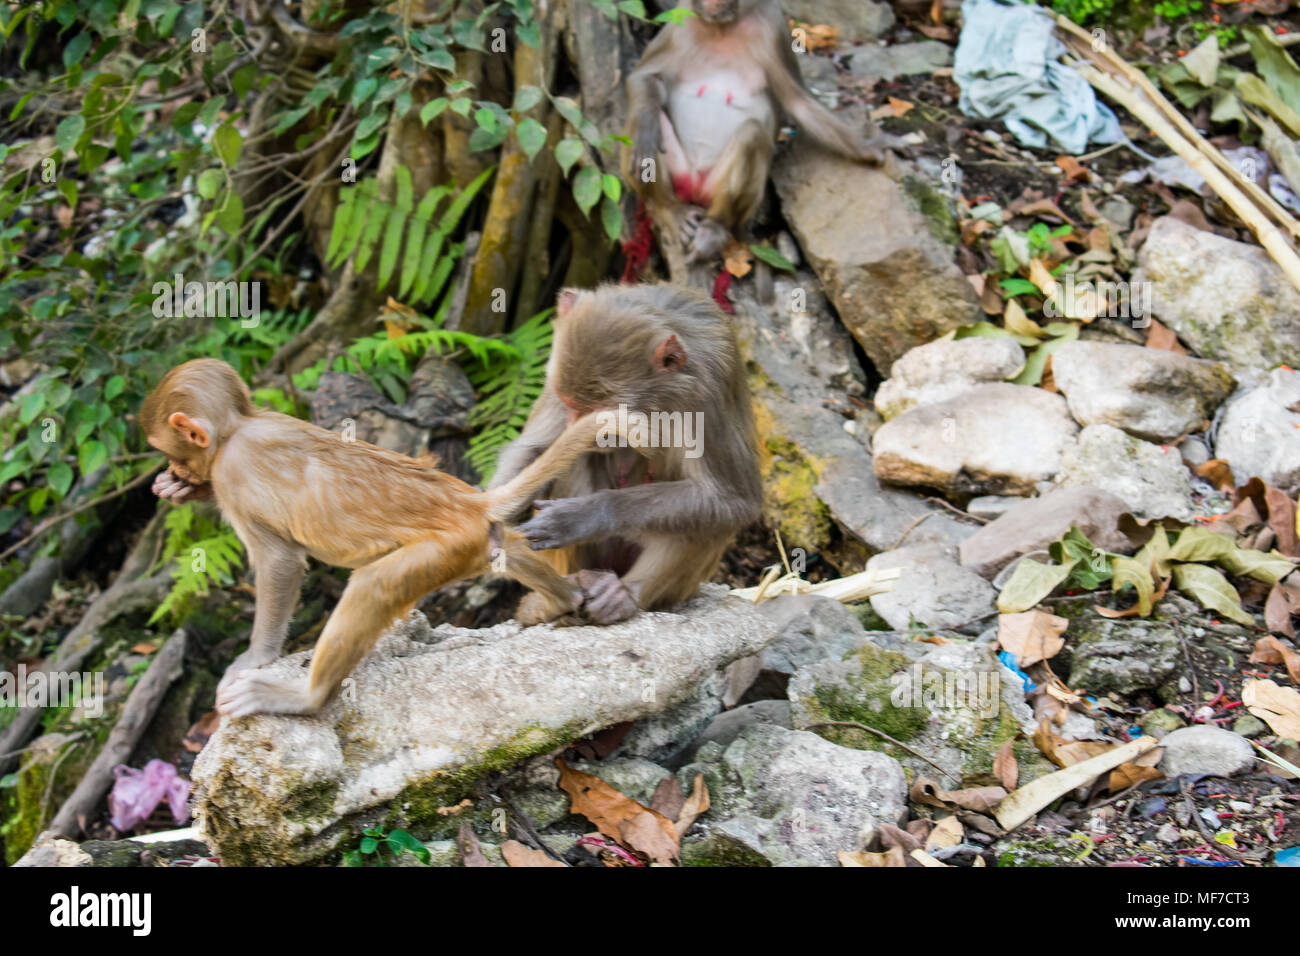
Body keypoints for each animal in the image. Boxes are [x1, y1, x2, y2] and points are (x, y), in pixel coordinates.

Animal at [141, 358, 642, 718]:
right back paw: (568, 598)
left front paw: (255, 657)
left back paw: (305, 698)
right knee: (512, 553)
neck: (239, 426)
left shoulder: (233, 475)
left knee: (374, 585)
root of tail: (468, 502)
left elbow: (280, 562)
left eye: (167, 448)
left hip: (443, 548)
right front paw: (179, 490)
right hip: (480, 541)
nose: (177, 469)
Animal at [488, 282, 762, 623]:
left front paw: (587, 516)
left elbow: (731, 500)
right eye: (568, 403)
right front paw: (488, 524)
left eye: (602, 413)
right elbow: (537, 450)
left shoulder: (708, 393)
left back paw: (623, 595)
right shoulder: (556, 379)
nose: (578, 427)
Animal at [625, 0, 906, 275]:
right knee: (647, 124)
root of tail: (695, 189)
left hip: (726, 194)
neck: (722, 29)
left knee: (751, 133)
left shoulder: (774, 28)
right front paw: (646, 131)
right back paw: (671, 209)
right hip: (681, 177)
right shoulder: (679, 23)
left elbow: (799, 103)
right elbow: (643, 76)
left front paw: (869, 147)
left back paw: (715, 227)